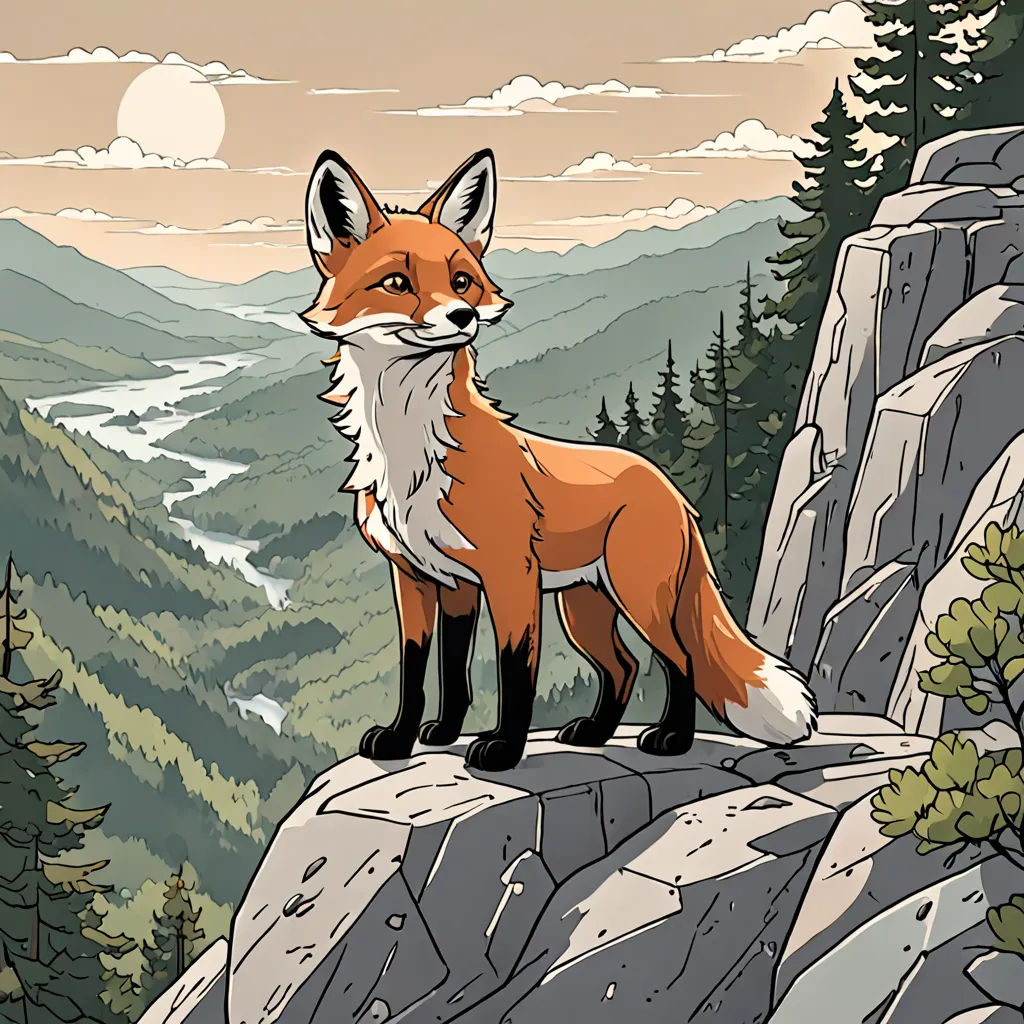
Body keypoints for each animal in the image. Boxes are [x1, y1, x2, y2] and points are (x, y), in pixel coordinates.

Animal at [300, 146, 818, 773]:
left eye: (461, 281)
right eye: (397, 282)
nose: (460, 317)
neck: (411, 454)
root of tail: (669, 487)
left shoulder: (509, 577)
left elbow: (514, 672)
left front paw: (502, 749)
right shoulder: (427, 580)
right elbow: (431, 671)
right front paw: (418, 737)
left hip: (636, 598)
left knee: (679, 661)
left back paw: (671, 739)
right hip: (585, 607)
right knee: (624, 666)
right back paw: (594, 733)